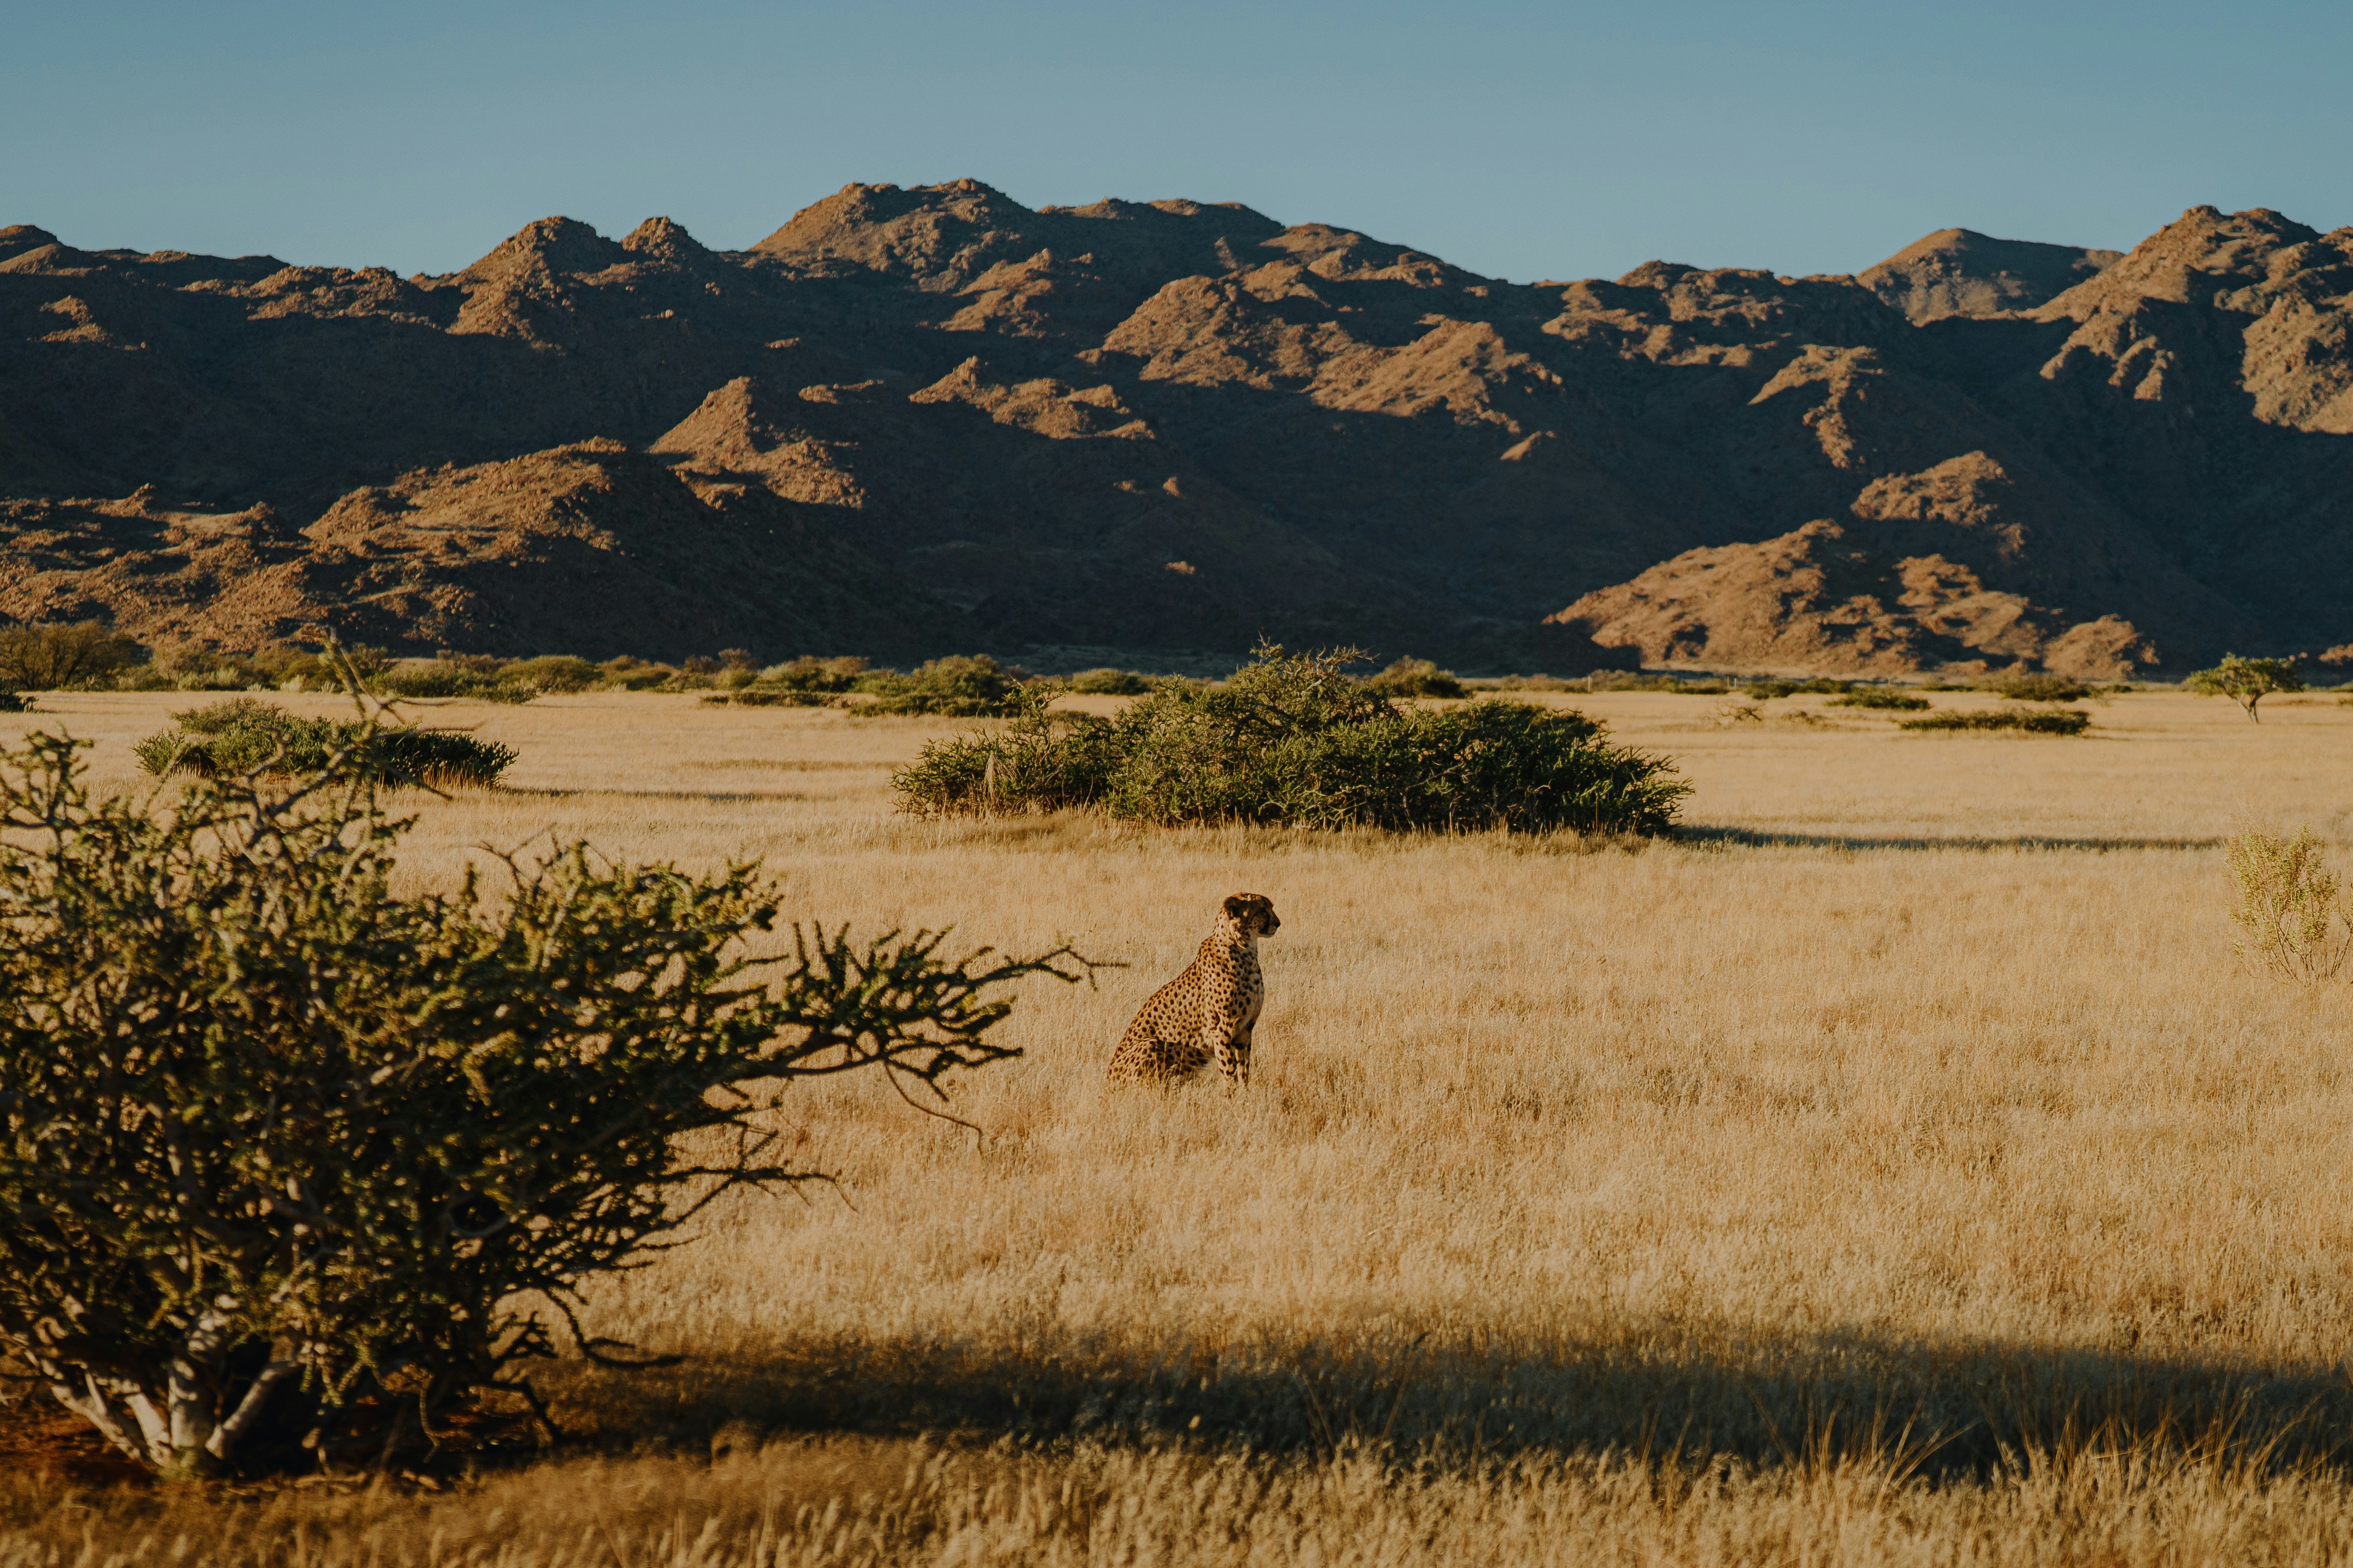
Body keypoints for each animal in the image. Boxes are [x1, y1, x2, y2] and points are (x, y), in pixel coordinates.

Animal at [1105, 893, 1280, 1087]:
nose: (1278, 923)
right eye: (1262, 910)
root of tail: (1108, 1080)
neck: (1243, 948)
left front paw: (1245, 1092)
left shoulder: (1245, 1029)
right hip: (1149, 1044)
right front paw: (1231, 1093)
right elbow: (1229, 1068)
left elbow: (1243, 1069)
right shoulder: (1221, 1029)